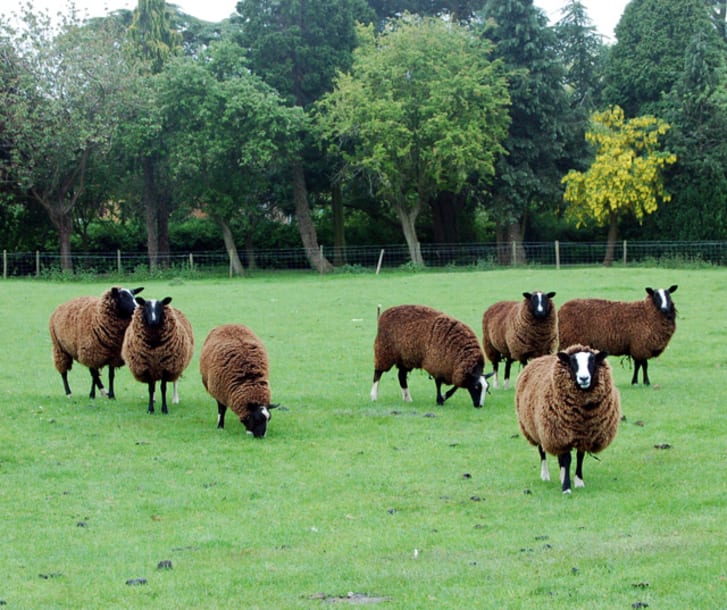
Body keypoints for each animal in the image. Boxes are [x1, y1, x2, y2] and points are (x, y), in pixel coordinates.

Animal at [515, 344, 621, 494]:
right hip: (537, 429)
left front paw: (578, 482)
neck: (582, 416)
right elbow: (567, 459)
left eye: (592, 360)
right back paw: (545, 475)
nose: (584, 378)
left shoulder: (584, 436)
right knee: (542, 451)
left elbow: (579, 457)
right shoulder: (561, 434)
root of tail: (539, 358)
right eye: (573, 362)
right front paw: (566, 488)